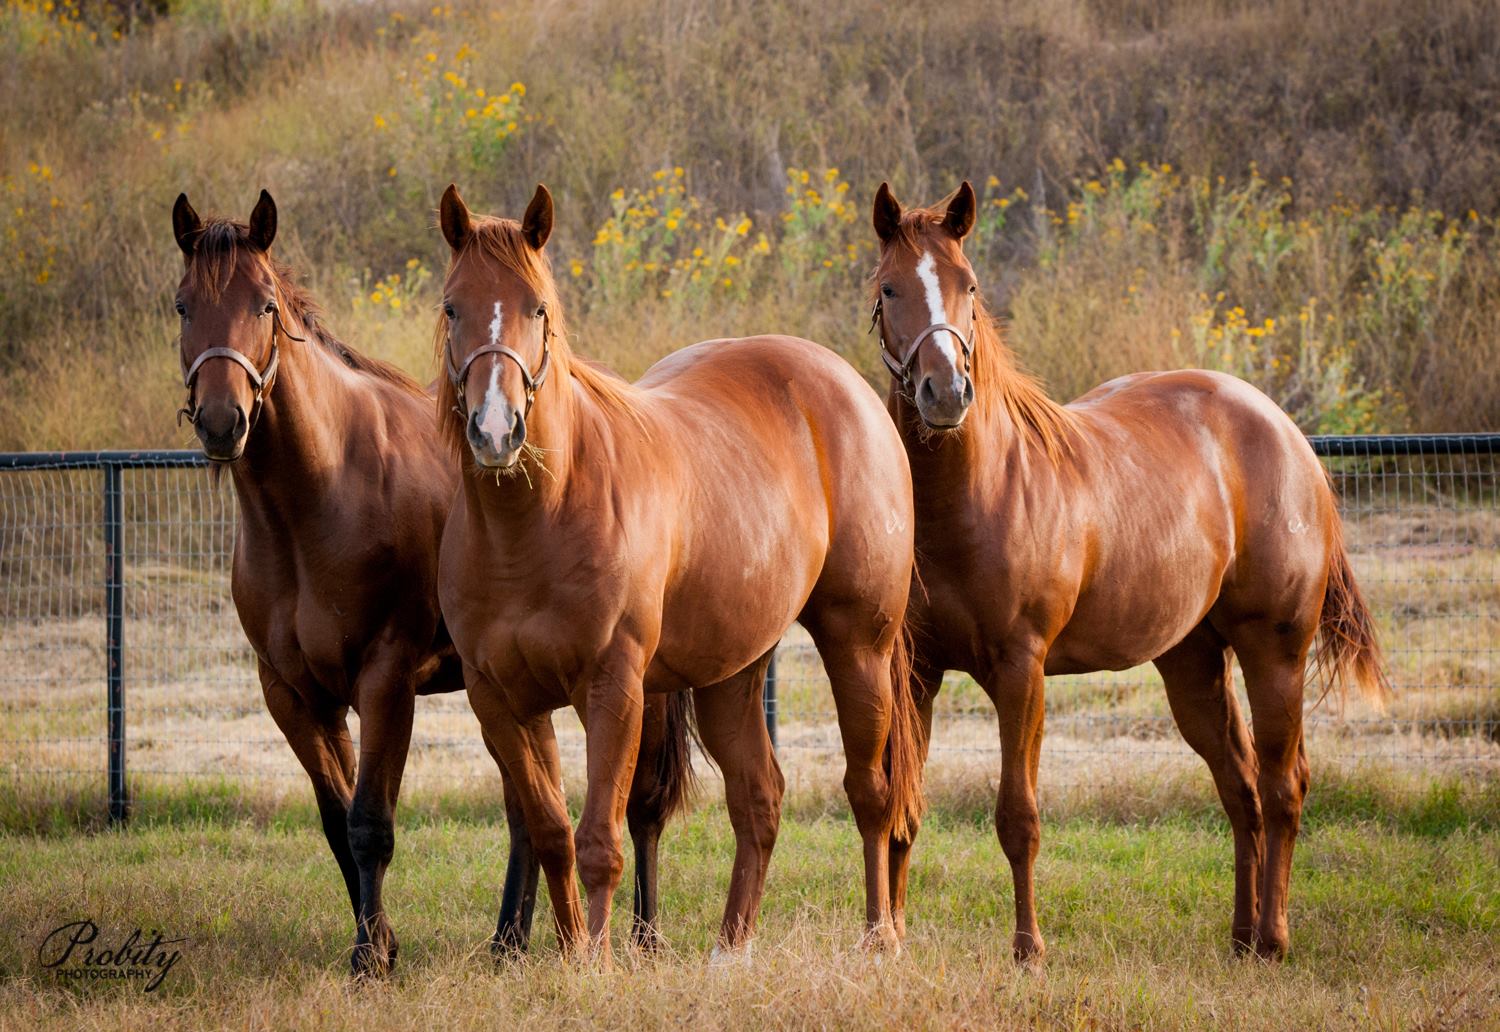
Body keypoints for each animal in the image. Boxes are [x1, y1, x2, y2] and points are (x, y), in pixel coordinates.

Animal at [169, 190, 693, 976]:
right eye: (182, 305)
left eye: (264, 304)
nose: (223, 419)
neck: (319, 496)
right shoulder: (291, 692)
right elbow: (337, 824)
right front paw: (379, 943)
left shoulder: (385, 680)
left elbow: (370, 825)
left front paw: (370, 960)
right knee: (526, 812)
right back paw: (509, 941)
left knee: (643, 807)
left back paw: (642, 939)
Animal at [433, 182, 925, 961]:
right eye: (453, 306)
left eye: (538, 307)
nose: (494, 430)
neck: (530, 527)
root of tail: (848, 386)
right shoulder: (500, 702)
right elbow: (549, 833)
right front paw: (571, 954)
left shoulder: (613, 688)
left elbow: (599, 840)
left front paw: (598, 962)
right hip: (733, 672)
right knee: (759, 797)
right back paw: (730, 947)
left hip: (859, 646)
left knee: (871, 793)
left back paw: (879, 937)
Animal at [867, 181, 1387, 962]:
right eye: (890, 287)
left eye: (969, 286)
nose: (946, 393)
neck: (980, 491)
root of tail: (1287, 433)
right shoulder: (921, 671)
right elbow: (907, 806)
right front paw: (890, 941)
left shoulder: (1022, 671)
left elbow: (1018, 817)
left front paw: (1029, 951)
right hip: (1192, 664)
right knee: (1241, 790)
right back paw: (1240, 939)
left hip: (1275, 652)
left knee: (1284, 786)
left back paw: (1272, 939)